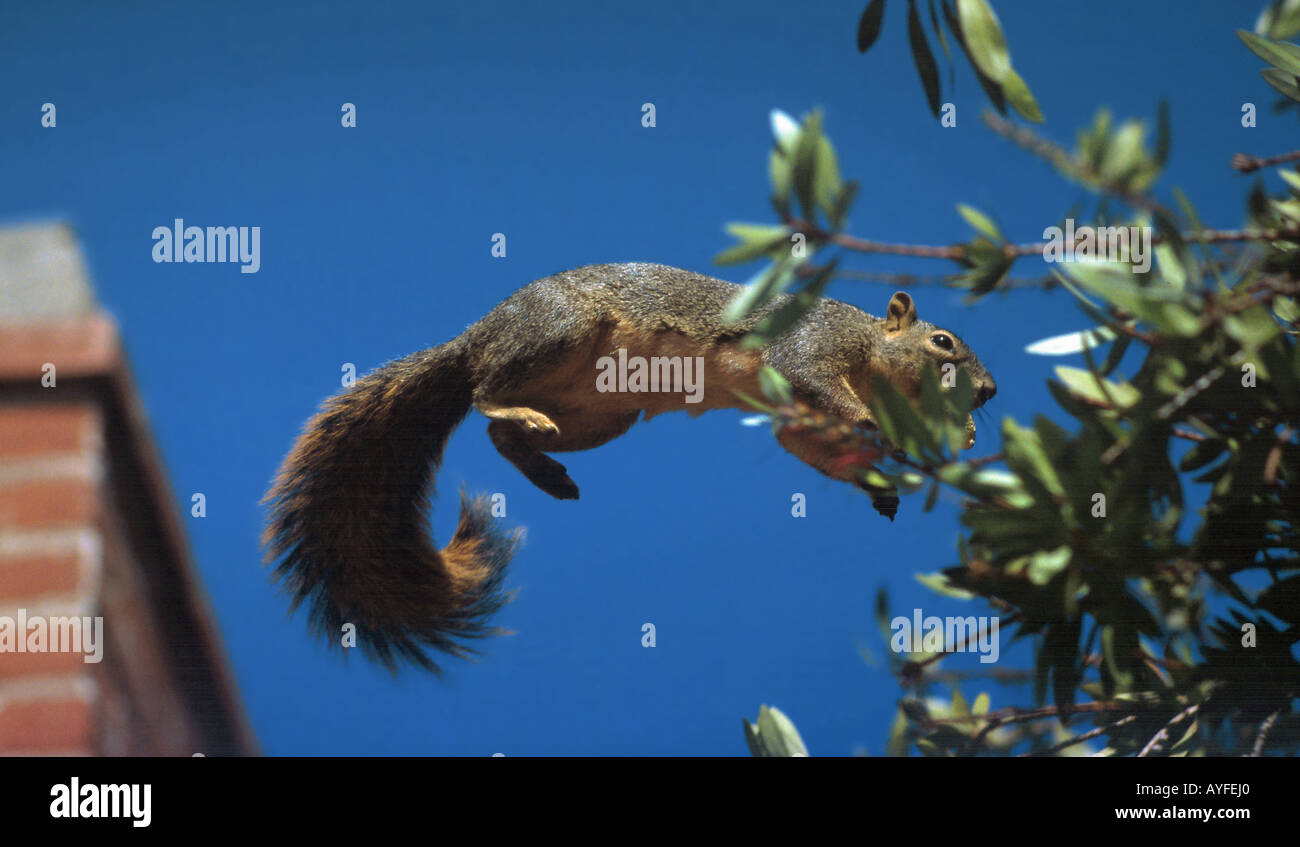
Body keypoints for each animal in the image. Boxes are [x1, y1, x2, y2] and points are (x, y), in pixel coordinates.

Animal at [262, 262, 996, 671]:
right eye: (943, 342)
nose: (987, 394)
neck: (871, 349)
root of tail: (477, 334)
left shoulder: (797, 420)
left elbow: (814, 448)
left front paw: (886, 478)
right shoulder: (808, 349)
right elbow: (821, 383)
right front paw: (881, 429)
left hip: (599, 415)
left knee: (498, 433)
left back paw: (544, 467)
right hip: (556, 330)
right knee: (483, 393)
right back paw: (514, 412)